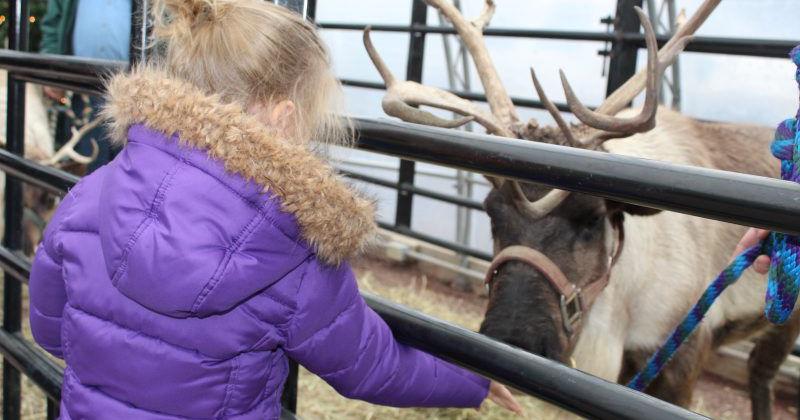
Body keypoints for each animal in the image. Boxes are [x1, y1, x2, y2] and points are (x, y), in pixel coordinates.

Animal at [363, 1, 794, 418]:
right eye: (491, 213)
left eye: (592, 218)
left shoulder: (682, 354)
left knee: (761, 372)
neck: (617, 313)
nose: (514, 339)